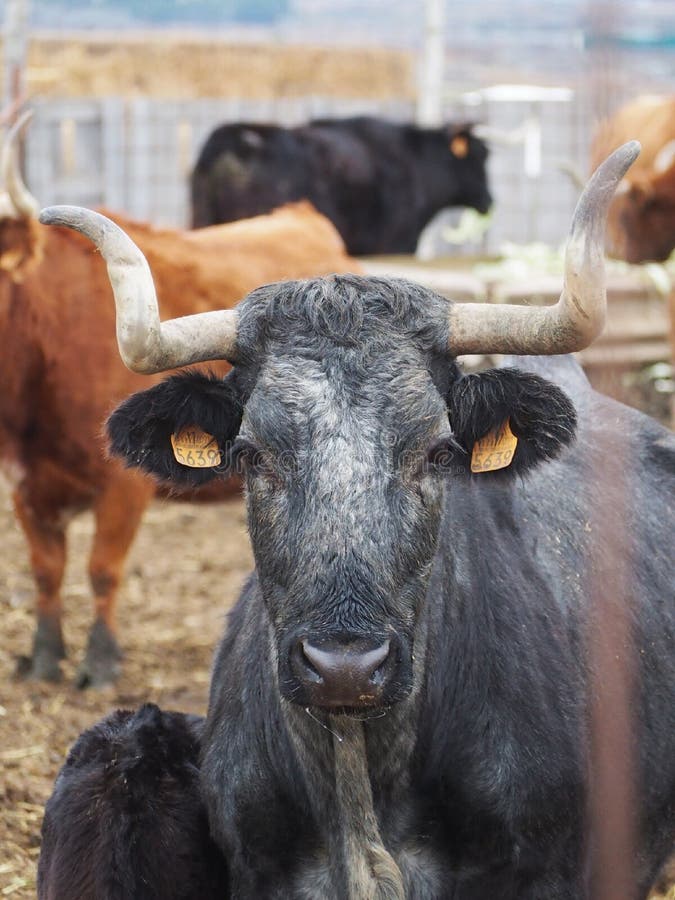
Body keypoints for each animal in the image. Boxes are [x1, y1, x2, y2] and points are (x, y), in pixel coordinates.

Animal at [0, 114, 359, 688]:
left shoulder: (123, 486)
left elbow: (102, 569)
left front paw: (101, 662)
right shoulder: (24, 486)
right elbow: (46, 572)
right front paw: (44, 658)